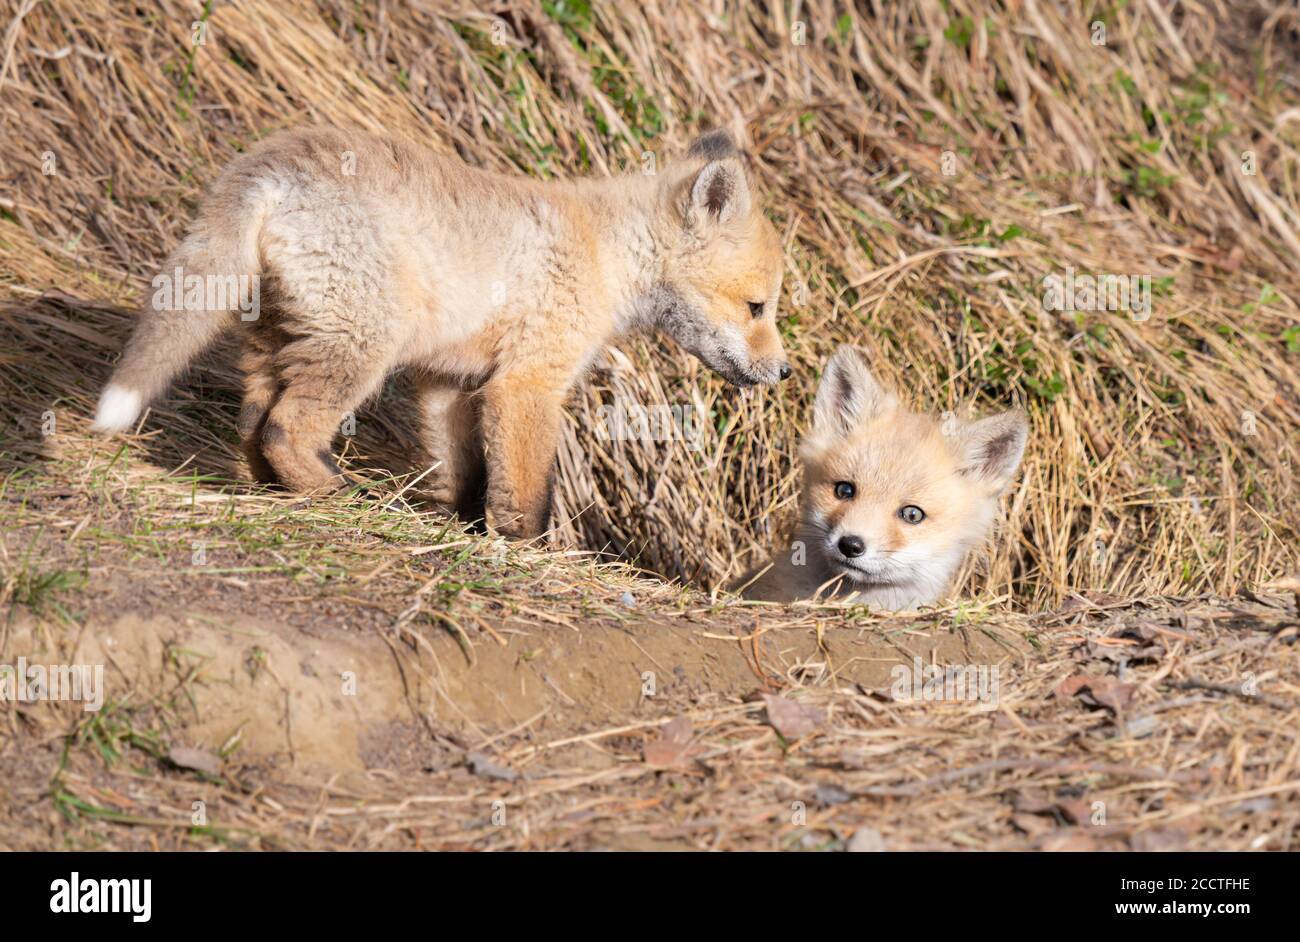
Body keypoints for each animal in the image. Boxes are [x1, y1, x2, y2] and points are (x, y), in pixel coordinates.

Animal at [92, 127, 790, 538]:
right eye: (757, 307)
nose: (783, 372)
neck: (605, 254)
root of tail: (274, 162)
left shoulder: (449, 382)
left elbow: (464, 477)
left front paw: (461, 528)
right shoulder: (527, 383)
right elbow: (528, 491)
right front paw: (526, 546)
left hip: (285, 338)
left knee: (255, 423)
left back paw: (277, 491)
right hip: (362, 344)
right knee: (288, 428)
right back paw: (338, 495)